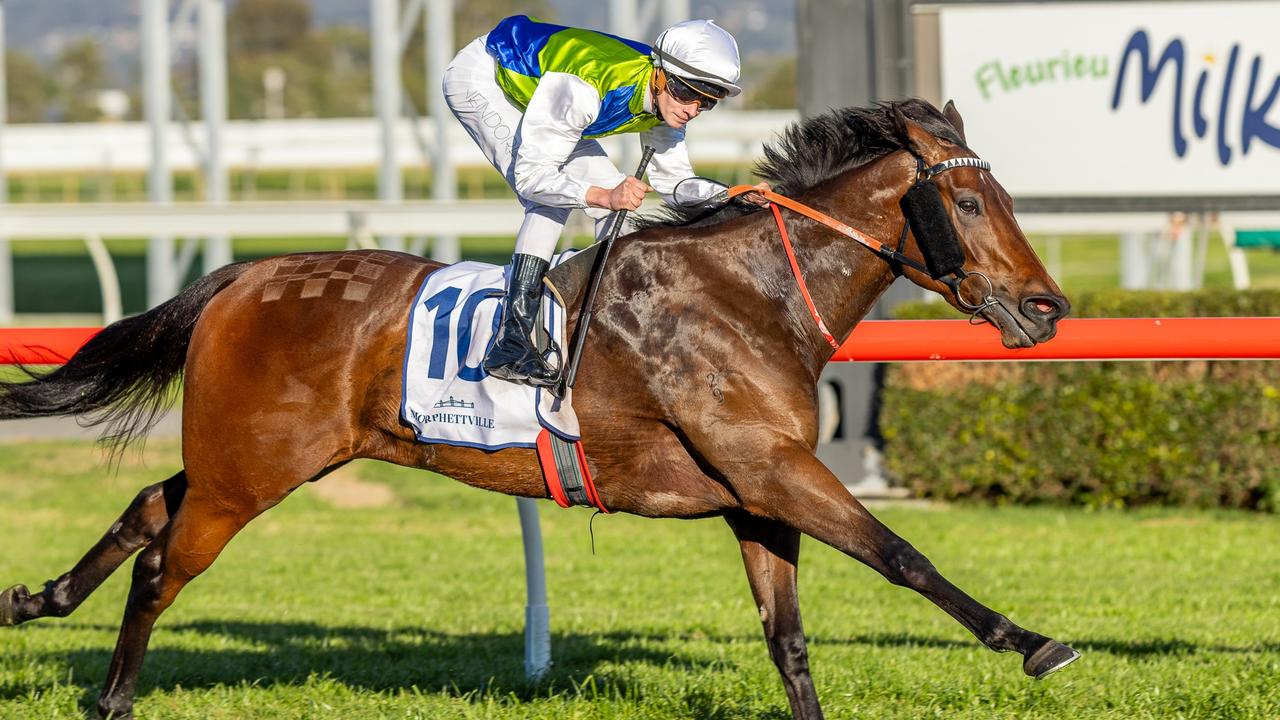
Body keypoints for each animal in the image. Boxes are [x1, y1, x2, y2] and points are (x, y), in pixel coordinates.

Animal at [0, 99, 1075, 720]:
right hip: (252, 470)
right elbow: (903, 555)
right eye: (969, 204)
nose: (1047, 308)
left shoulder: (758, 491)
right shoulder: (773, 467)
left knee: (150, 503)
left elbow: (790, 638)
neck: (749, 294)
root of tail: (243, 275)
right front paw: (1033, 643)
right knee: (160, 566)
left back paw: (39, 598)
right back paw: (111, 698)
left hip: (255, 455)